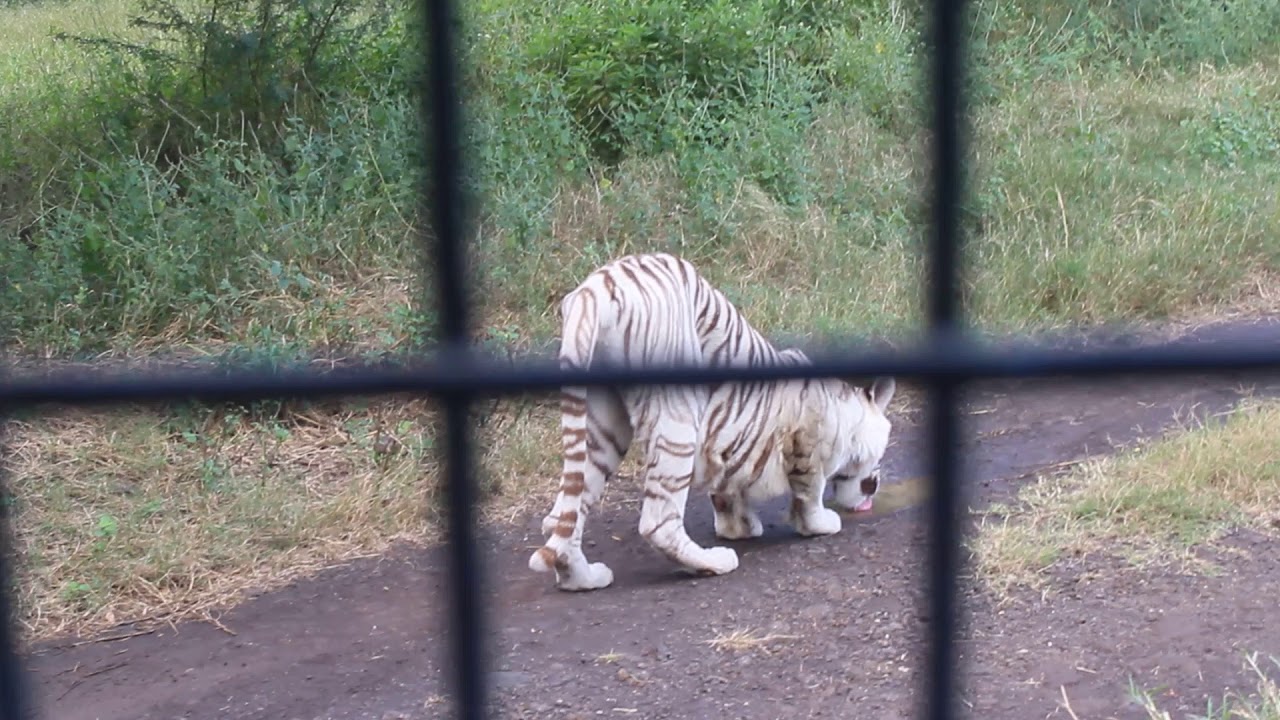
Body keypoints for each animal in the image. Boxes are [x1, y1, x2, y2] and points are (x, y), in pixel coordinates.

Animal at [528, 252, 897, 591]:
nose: (875, 485)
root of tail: (595, 289)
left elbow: (727, 492)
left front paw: (739, 527)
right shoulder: (805, 440)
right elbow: (809, 490)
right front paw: (820, 523)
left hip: (601, 426)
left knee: (569, 510)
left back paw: (583, 578)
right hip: (676, 417)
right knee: (658, 522)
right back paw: (712, 563)